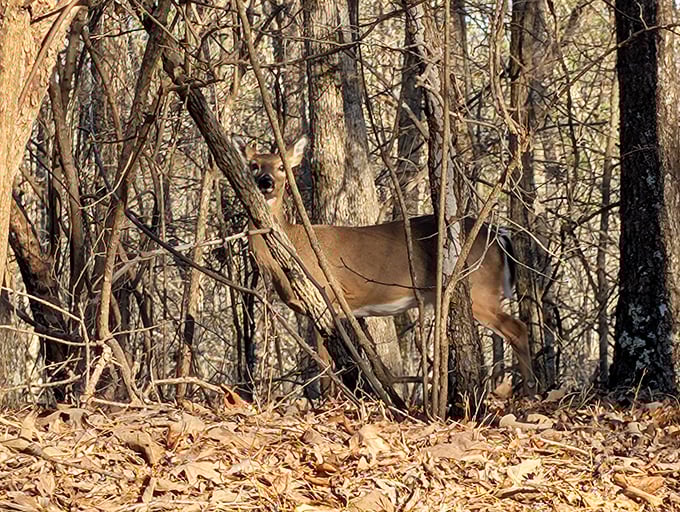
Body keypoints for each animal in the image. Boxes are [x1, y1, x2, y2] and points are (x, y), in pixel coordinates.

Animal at [238, 135, 534, 392]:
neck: (294, 244)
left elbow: (327, 364)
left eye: (281, 166)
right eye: (254, 165)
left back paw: (530, 391)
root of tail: (499, 234)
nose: (265, 182)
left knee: (518, 328)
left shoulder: (326, 298)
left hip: (479, 289)